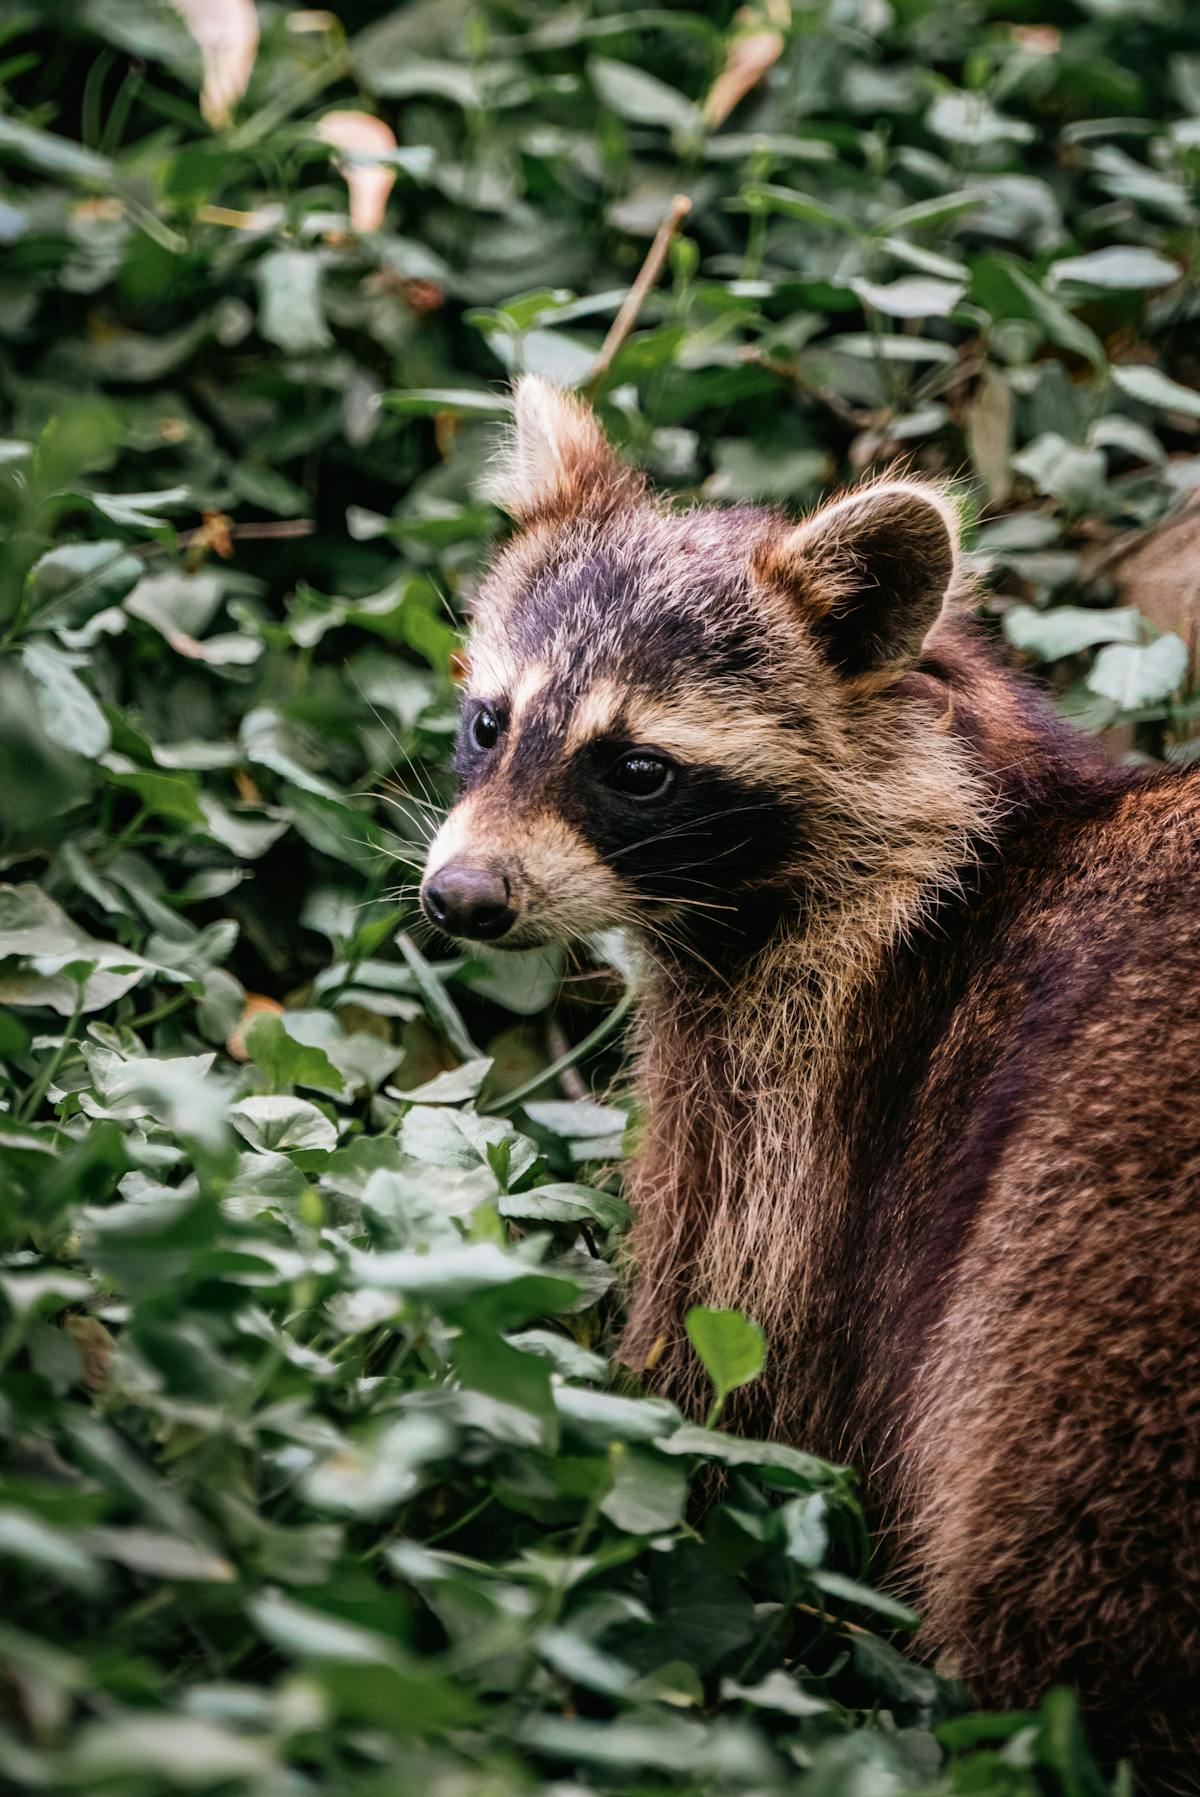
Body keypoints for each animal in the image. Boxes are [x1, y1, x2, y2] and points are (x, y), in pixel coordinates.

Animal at [421, 377, 1200, 1789]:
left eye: (636, 768)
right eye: (488, 722)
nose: (460, 899)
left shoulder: (812, 1072)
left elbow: (730, 1385)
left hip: (1097, 1269)